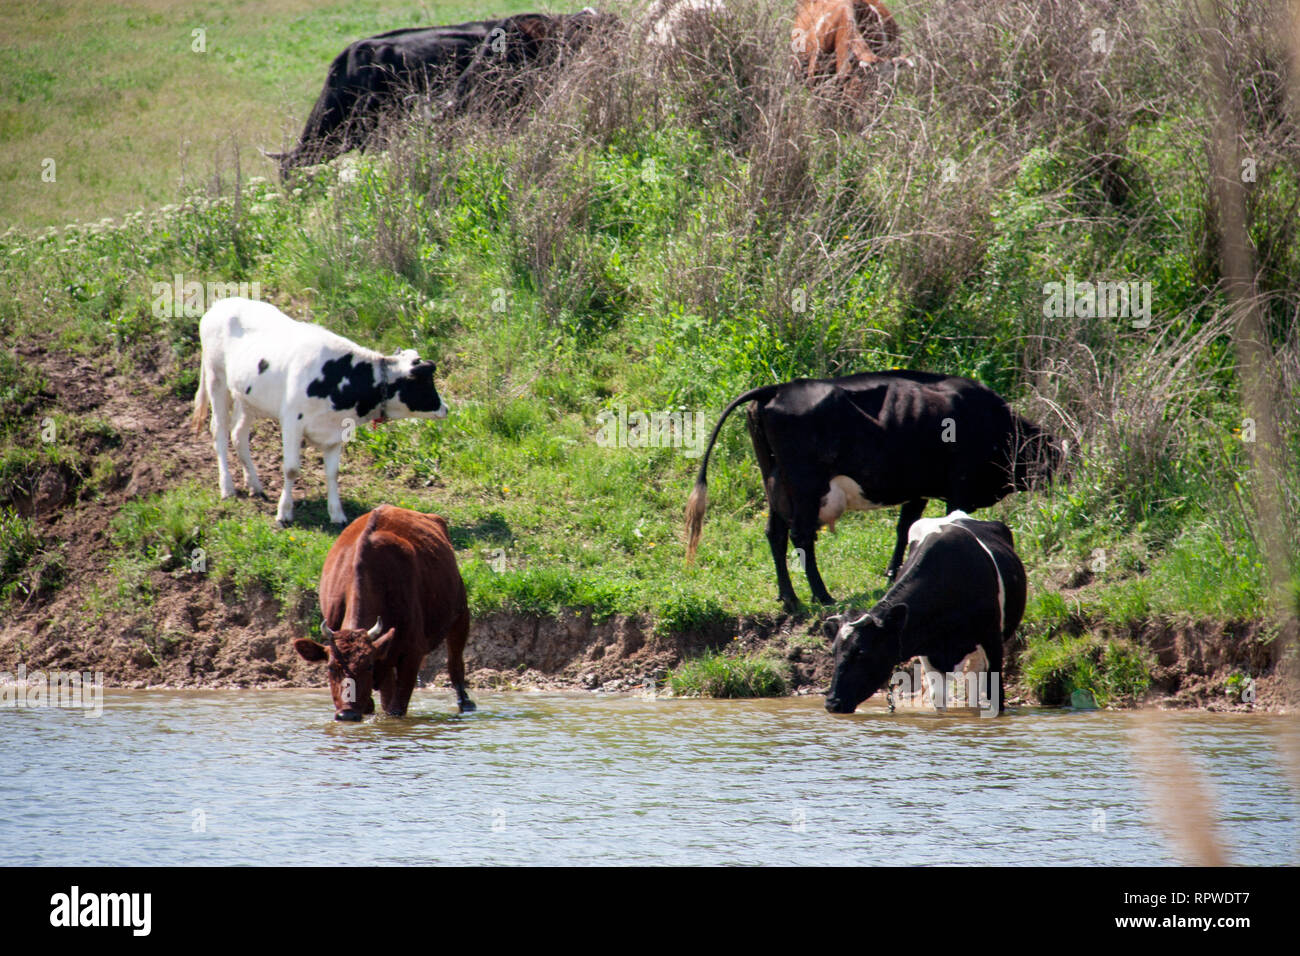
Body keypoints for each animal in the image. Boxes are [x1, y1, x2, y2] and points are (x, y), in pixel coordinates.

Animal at [191, 297, 448, 526]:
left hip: (247, 398)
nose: (445, 408)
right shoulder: (292, 422)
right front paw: (284, 513)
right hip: (216, 379)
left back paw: (255, 485)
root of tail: (220, 304)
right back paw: (227, 488)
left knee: (238, 434)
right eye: (426, 381)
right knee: (219, 432)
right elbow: (291, 469)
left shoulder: (336, 431)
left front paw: (337, 514)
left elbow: (333, 473)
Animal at [292, 505, 474, 720]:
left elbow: (396, 708)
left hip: (460, 614)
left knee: (455, 663)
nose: (347, 714)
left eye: (368, 666)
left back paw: (465, 702)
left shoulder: (412, 654)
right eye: (330, 667)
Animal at [683, 370, 1063, 610]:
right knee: (800, 536)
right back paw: (822, 596)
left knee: (775, 534)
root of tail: (777, 388)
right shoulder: (959, 486)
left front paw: (894, 572)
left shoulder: (919, 488)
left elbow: (904, 527)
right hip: (806, 486)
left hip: (776, 485)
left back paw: (789, 598)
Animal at [823, 510, 1026, 716]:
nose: (832, 704)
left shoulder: (992, 641)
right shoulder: (929, 651)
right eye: (833, 651)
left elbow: (996, 695)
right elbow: (939, 697)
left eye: (861, 652)